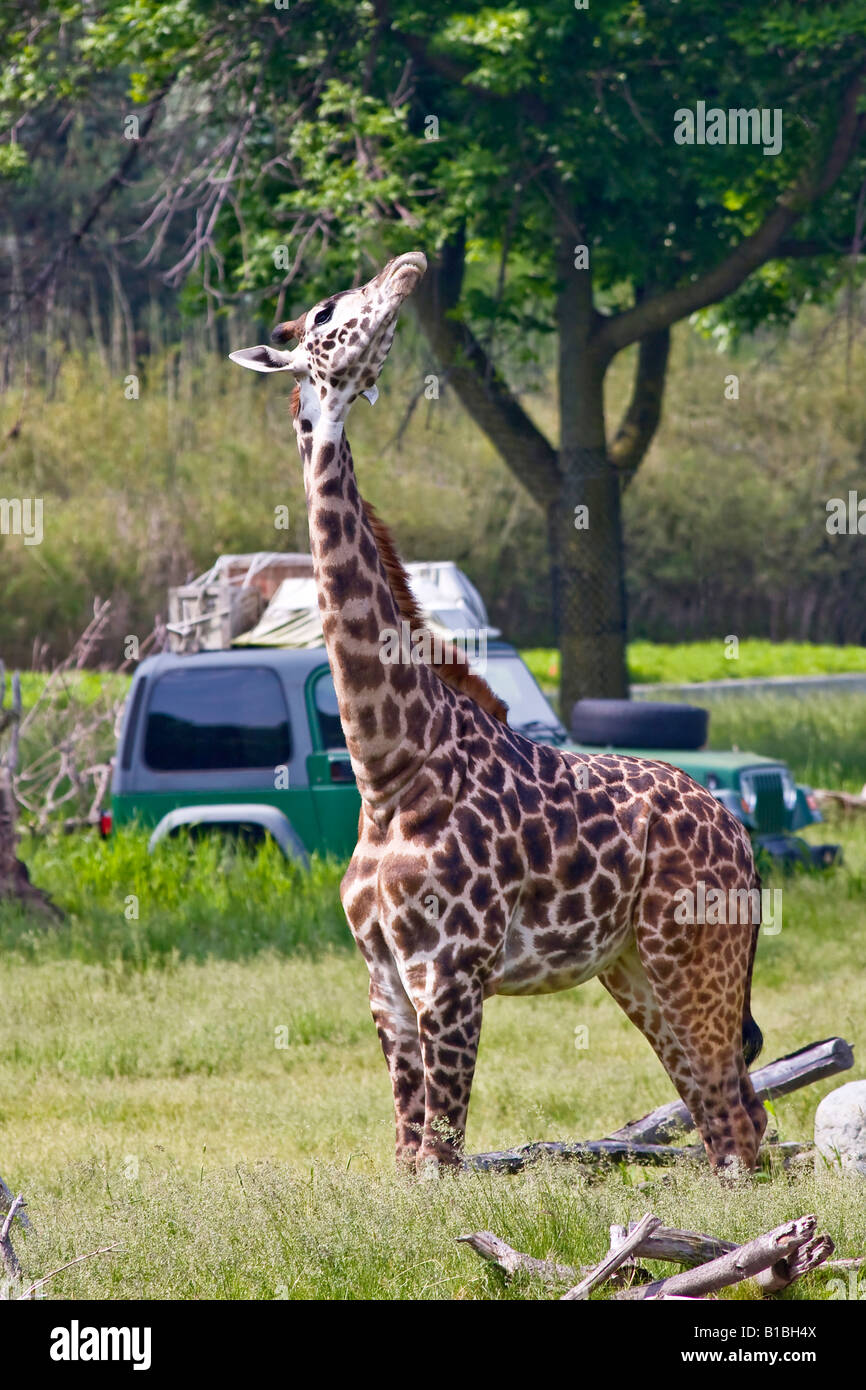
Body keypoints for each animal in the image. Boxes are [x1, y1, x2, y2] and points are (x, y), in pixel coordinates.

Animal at [230, 251, 767, 1178]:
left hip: (694, 958)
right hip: (636, 969)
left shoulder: (451, 972)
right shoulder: (385, 981)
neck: (388, 764)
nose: (410, 263)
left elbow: (441, 1166)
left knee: (737, 1134)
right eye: (328, 309)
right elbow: (408, 1164)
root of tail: (741, 832)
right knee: (733, 1121)